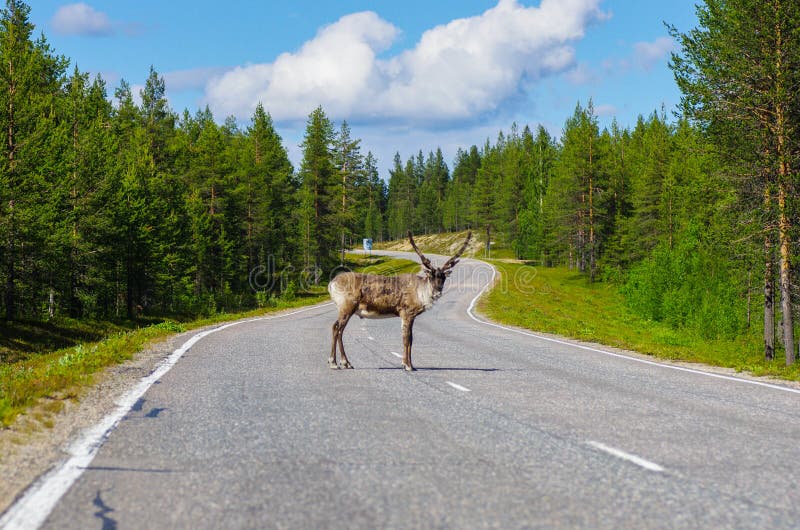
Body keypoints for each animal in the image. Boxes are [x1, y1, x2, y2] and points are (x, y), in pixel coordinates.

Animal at [327, 231, 472, 371]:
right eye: (431, 276)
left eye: (443, 277)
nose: (438, 290)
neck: (421, 293)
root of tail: (331, 284)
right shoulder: (407, 313)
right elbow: (407, 339)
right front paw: (408, 365)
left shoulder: (410, 316)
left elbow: (410, 339)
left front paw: (408, 364)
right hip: (347, 307)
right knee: (336, 328)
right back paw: (335, 362)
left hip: (347, 309)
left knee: (339, 329)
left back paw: (345, 363)